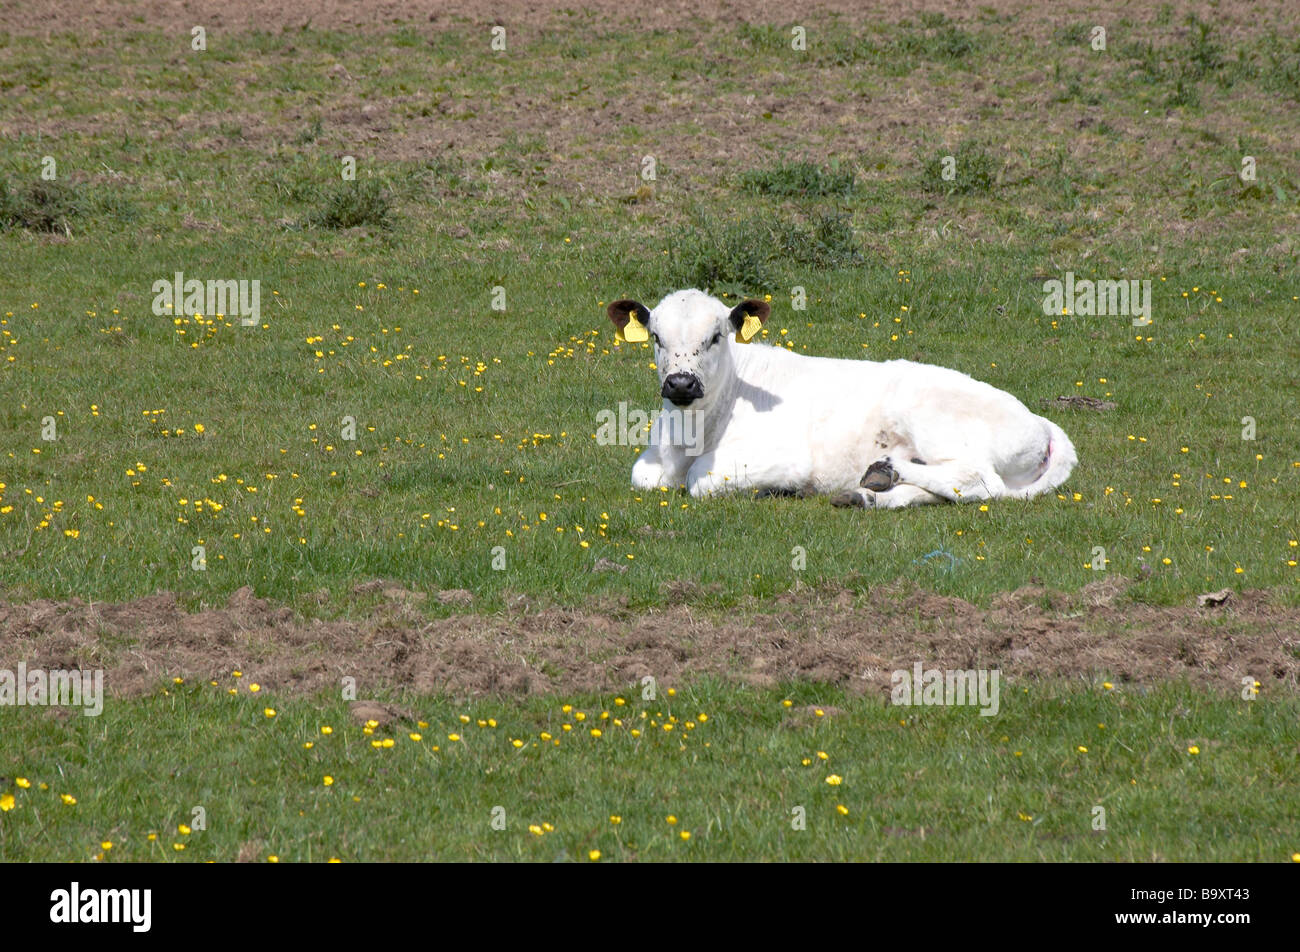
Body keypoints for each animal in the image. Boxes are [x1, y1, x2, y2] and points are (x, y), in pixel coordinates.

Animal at [607, 289, 1077, 508]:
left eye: (716, 336)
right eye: (656, 337)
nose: (681, 385)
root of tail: (1038, 421)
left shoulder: (785, 456)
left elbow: (698, 480)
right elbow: (643, 475)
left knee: (979, 480)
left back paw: (885, 471)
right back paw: (869, 491)